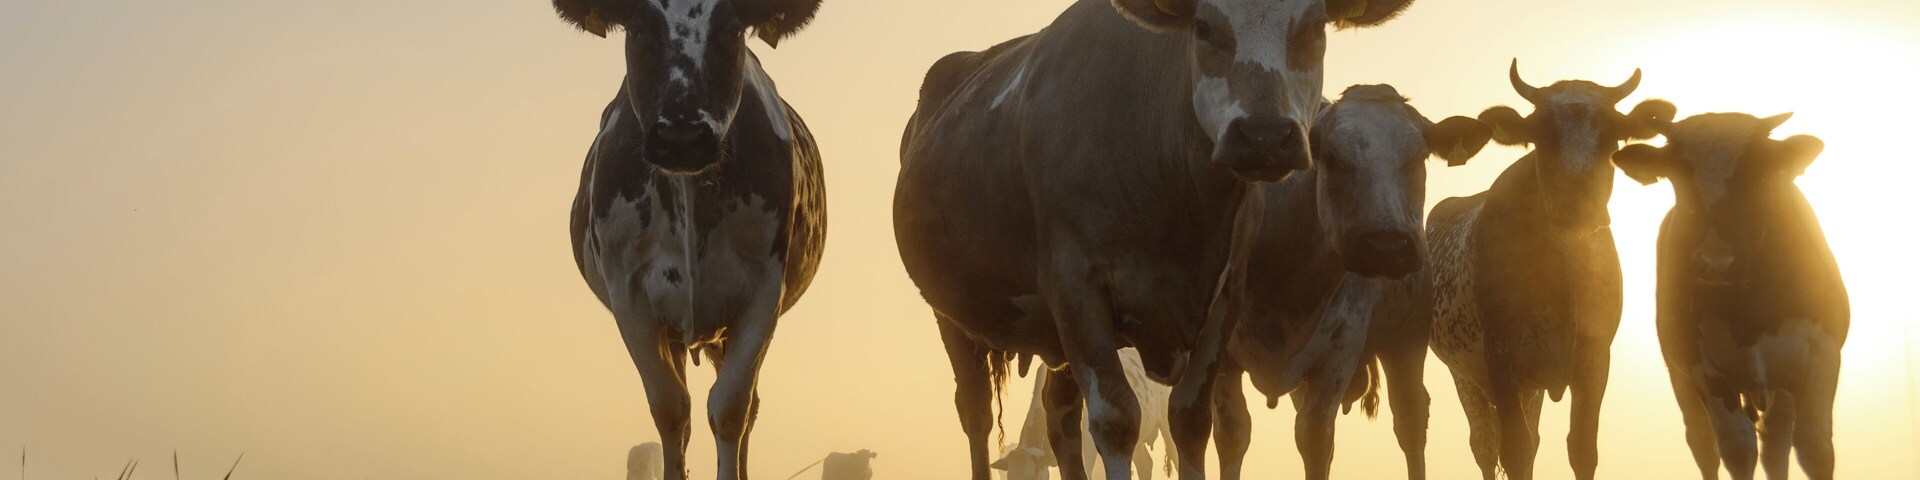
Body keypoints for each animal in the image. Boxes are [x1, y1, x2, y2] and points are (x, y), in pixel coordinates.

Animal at [553, 0, 828, 479]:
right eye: (638, 29)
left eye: (732, 30)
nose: (681, 137)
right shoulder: (630, 295)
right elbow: (670, 409)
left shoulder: (763, 292)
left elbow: (730, 409)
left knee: (749, 406)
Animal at [1211, 84, 1493, 480]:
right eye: (1331, 157)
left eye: (1419, 156)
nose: (1387, 247)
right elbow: (1233, 432)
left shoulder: (1342, 346)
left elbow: (1315, 436)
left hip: (1406, 340)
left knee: (1410, 420)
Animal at [1399, 60, 1674, 480]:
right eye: (1542, 135)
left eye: (1612, 136)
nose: (1577, 206)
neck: (1561, 269)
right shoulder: (1501, 357)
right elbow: (1514, 450)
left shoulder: (1595, 358)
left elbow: (1581, 448)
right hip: (1467, 378)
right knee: (1485, 445)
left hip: (1530, 386)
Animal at [1612, 112, 1847, 480]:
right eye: (1678, 176)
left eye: (1756, 171)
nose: (1716, 262)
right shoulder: (1702, 367)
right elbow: (1737, 448)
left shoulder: (1822, 352)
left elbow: (1815, 448)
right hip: (1683, 378)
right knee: (1704, 443)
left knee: (1776, 444)